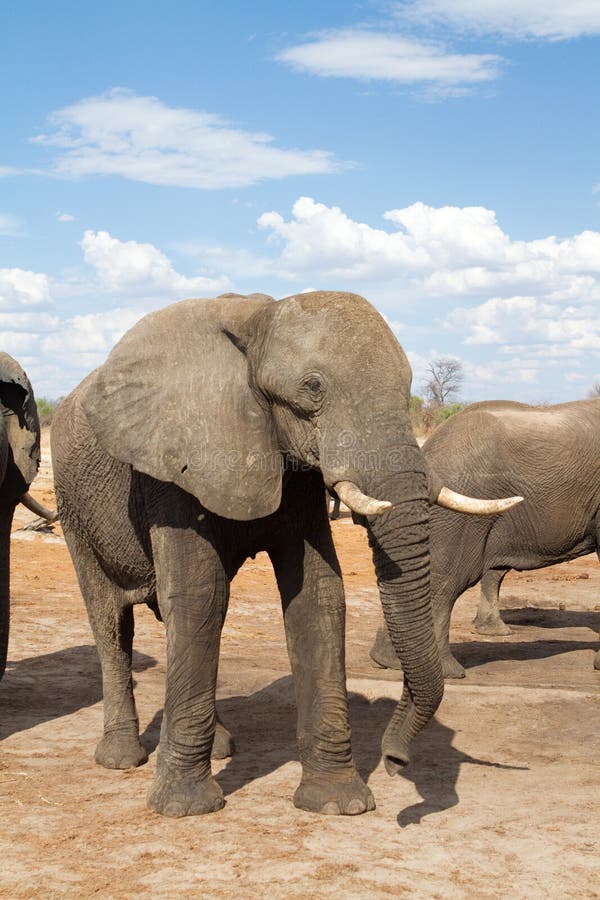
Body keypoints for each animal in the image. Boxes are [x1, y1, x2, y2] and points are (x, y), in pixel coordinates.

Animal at [51, 291, 519, 818]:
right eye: (312, 388)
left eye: (408, 389)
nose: (396, 760)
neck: (258, 320)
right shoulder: (173, 467)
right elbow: (197, 597)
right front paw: (185, 808)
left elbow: (316, 594)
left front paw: (338, 803)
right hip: (74, 507)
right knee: (111, 619)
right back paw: (121, 758)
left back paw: (220, 747)